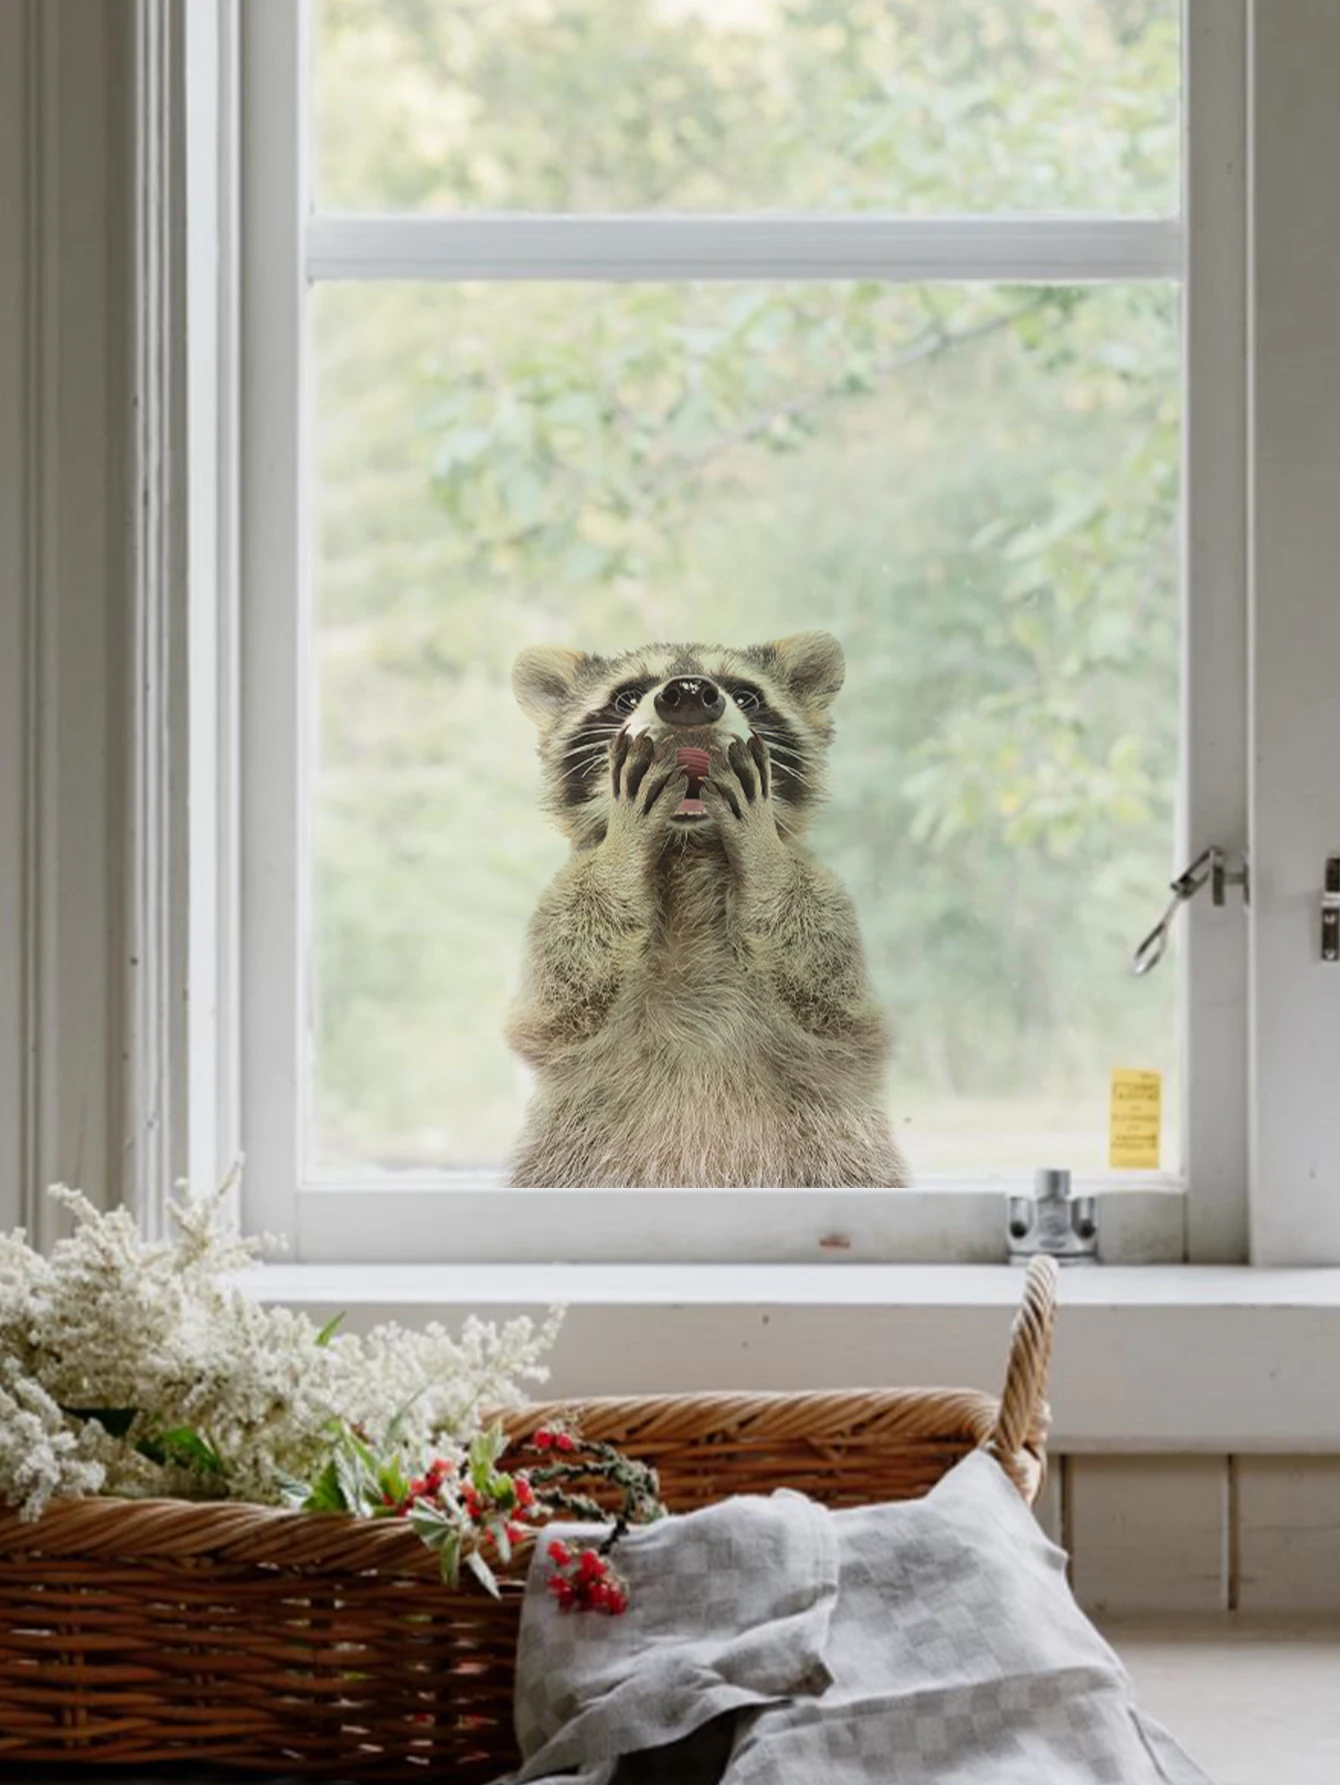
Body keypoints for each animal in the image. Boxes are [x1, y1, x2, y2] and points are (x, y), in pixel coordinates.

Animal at [505, 631, 907, 1188]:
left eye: (746, 695)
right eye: (628, 696)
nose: (691, 694)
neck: (689, 849)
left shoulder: (840, 981)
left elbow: (833, 1004)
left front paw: (761, 848)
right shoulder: (557, 941)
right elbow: (563, 1006)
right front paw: (624, 844)